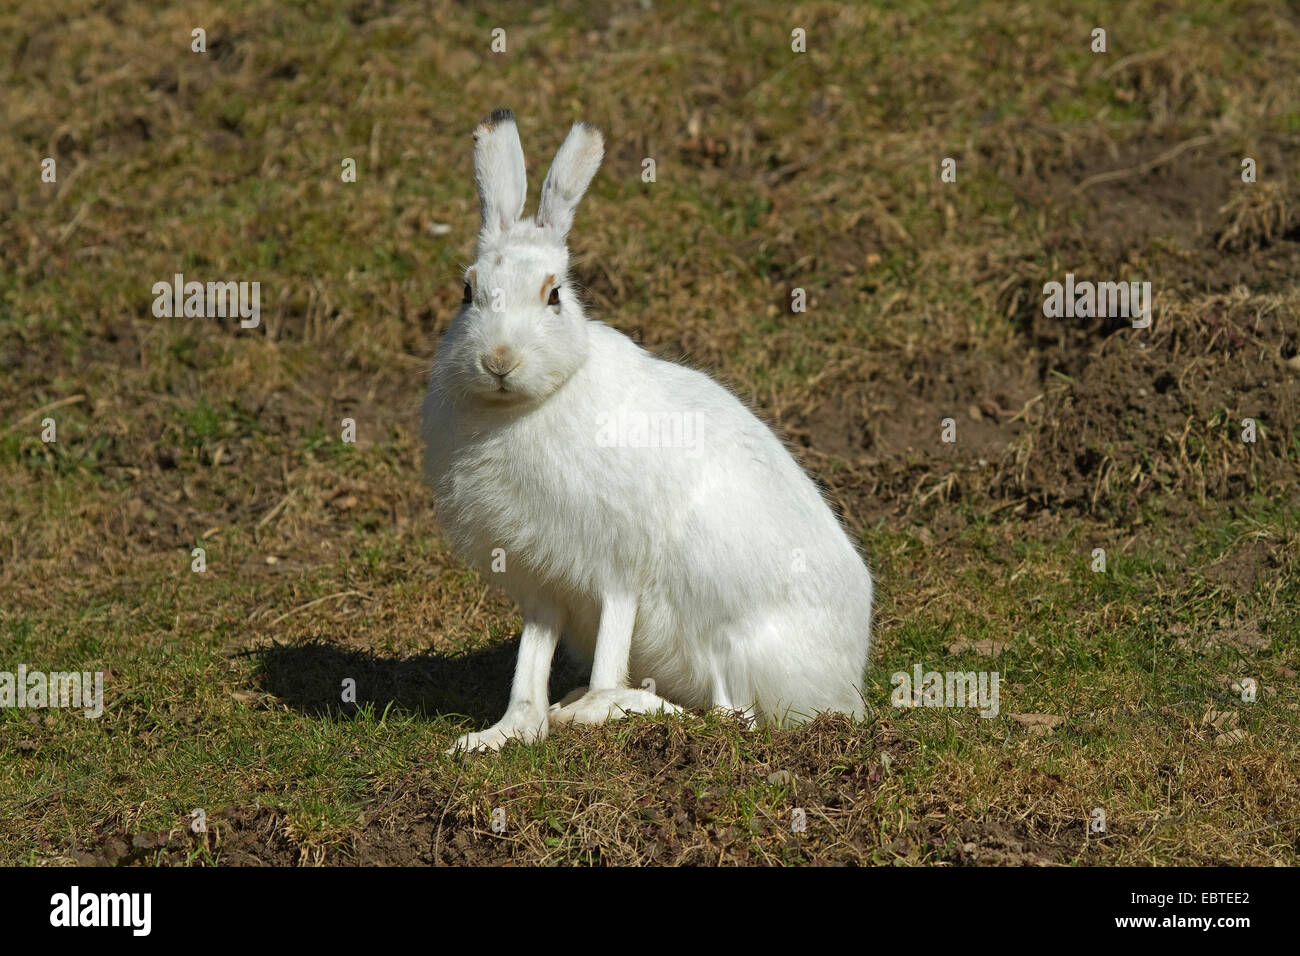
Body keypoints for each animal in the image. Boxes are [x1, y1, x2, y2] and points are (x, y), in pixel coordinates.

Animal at [422, 108, 874, 753]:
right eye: (468, 292)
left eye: (554, 296)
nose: (500, 360)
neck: (523, 408)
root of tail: (843, 684)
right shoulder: (543, 584)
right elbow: (532, 656)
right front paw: (506, 730)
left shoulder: (617, 565)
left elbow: (613, 640)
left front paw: (594, 708)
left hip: (726, 626)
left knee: (731, 715)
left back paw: (626, 705)